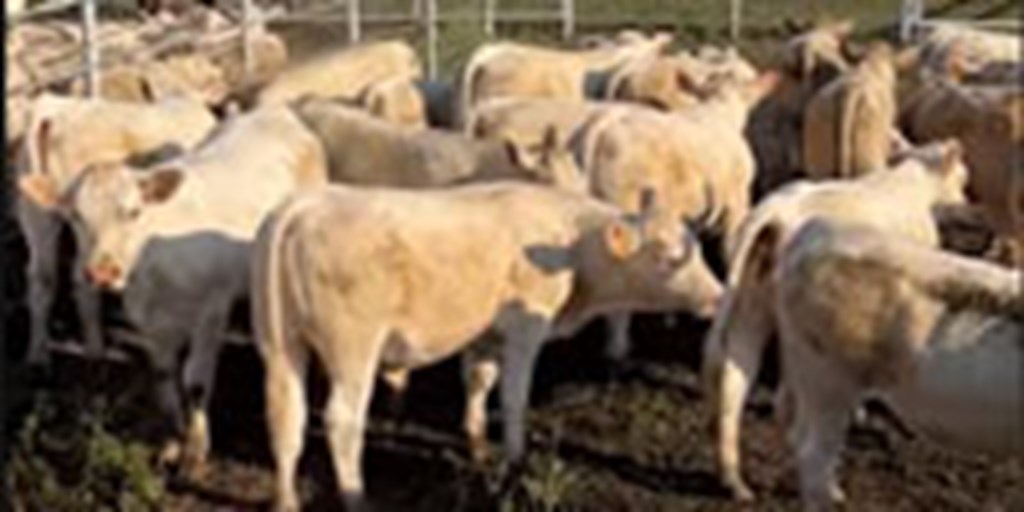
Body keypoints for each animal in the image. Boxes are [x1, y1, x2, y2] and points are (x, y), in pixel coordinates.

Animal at [15, 94, 217, 366]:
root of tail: (53, 106)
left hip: (37, 214)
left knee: (44, 278)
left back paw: (41, 355)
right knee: (79, 279)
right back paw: (94, 349)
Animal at [250, 182, 723, 511]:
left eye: (697, 251)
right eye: (666, 257)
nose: (718, 295)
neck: (569, 246)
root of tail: (304, 206)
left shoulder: (485, 336)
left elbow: (478, 383)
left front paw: (476, 444)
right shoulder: (525, 330)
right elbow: (513, 397)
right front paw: (514, 461)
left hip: (281, 346)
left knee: (285, 418)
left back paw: (286, 498)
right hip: (353, 349)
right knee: (341, 420)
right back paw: (355, 496)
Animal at [702, 140, 970, 501]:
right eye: (963, 179)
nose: (968, 203)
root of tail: (777, 212)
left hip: (750, 301)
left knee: (735, 378)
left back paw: (735, 482)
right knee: (786, 402)